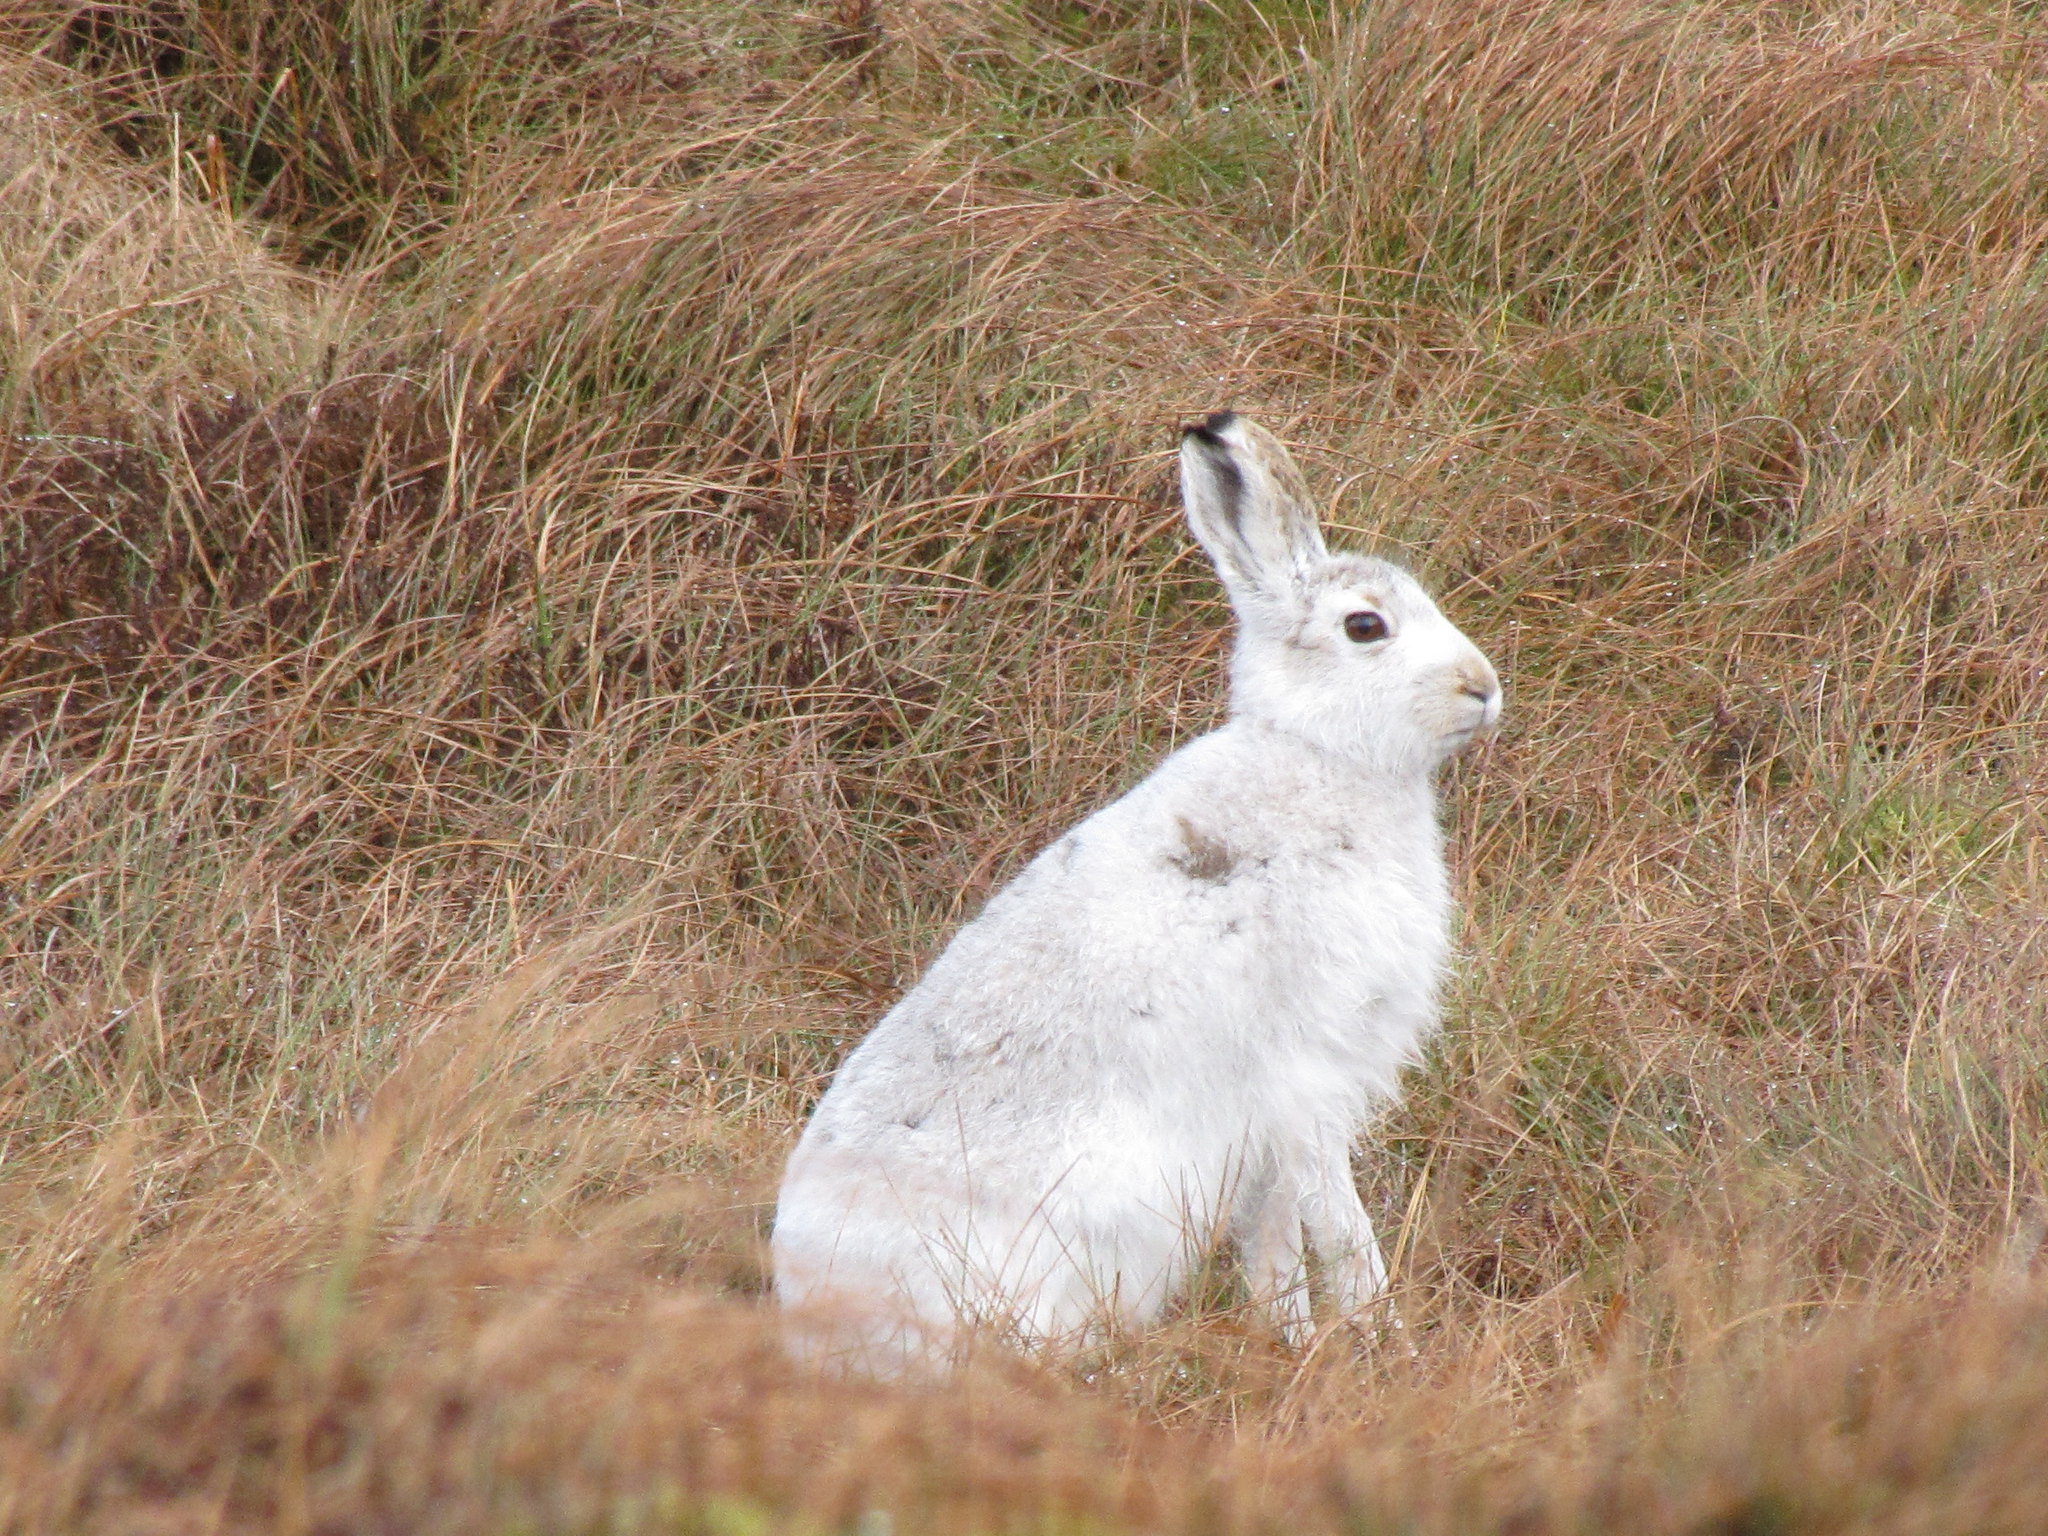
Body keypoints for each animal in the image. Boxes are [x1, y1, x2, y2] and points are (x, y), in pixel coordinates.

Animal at [772, 412, 1501, 1372]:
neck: (1320, 752)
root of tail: (812, 1325)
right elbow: (1336, 1222)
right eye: (1366, 626)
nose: (1484, 688)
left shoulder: (1268, 1125)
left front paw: (1290, 1339)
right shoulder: (1307, 1074)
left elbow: (1273, 1236)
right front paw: (1386, 1340)